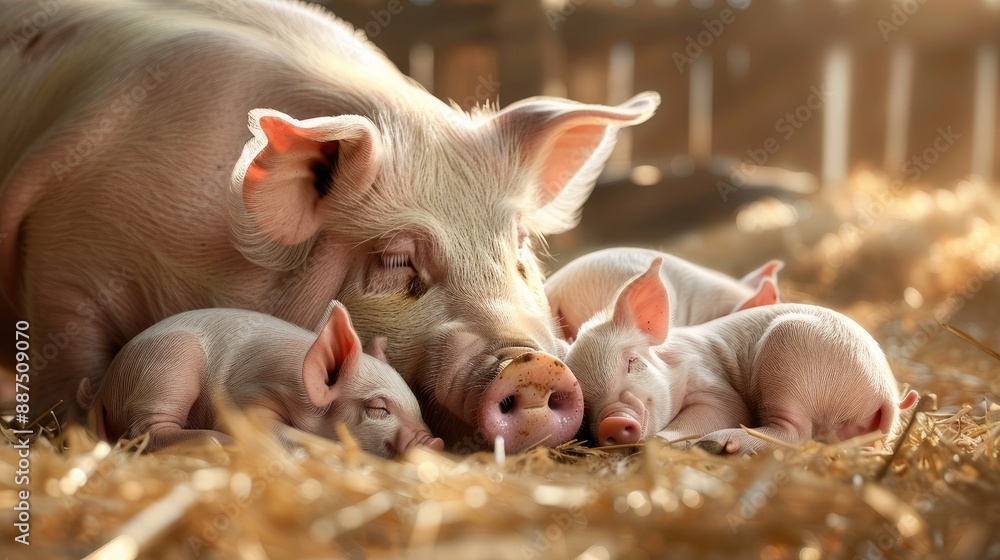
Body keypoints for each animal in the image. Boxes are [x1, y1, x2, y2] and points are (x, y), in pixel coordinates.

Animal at [75, 301, 444, 457]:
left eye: (417, 406)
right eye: (378, 408)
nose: (436, 442)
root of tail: (106, 385)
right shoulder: (250, 396)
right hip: (169, 365)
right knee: (143, 432)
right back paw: (221, 443)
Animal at [563, 258, 919, 453]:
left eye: (631, 361)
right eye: (587, 402)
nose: (612, 421)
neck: (676, 362)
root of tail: (884, 393)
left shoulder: (714, 385)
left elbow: (723, 409)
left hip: (789, 356)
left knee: (795, 433)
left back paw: (716, 445)